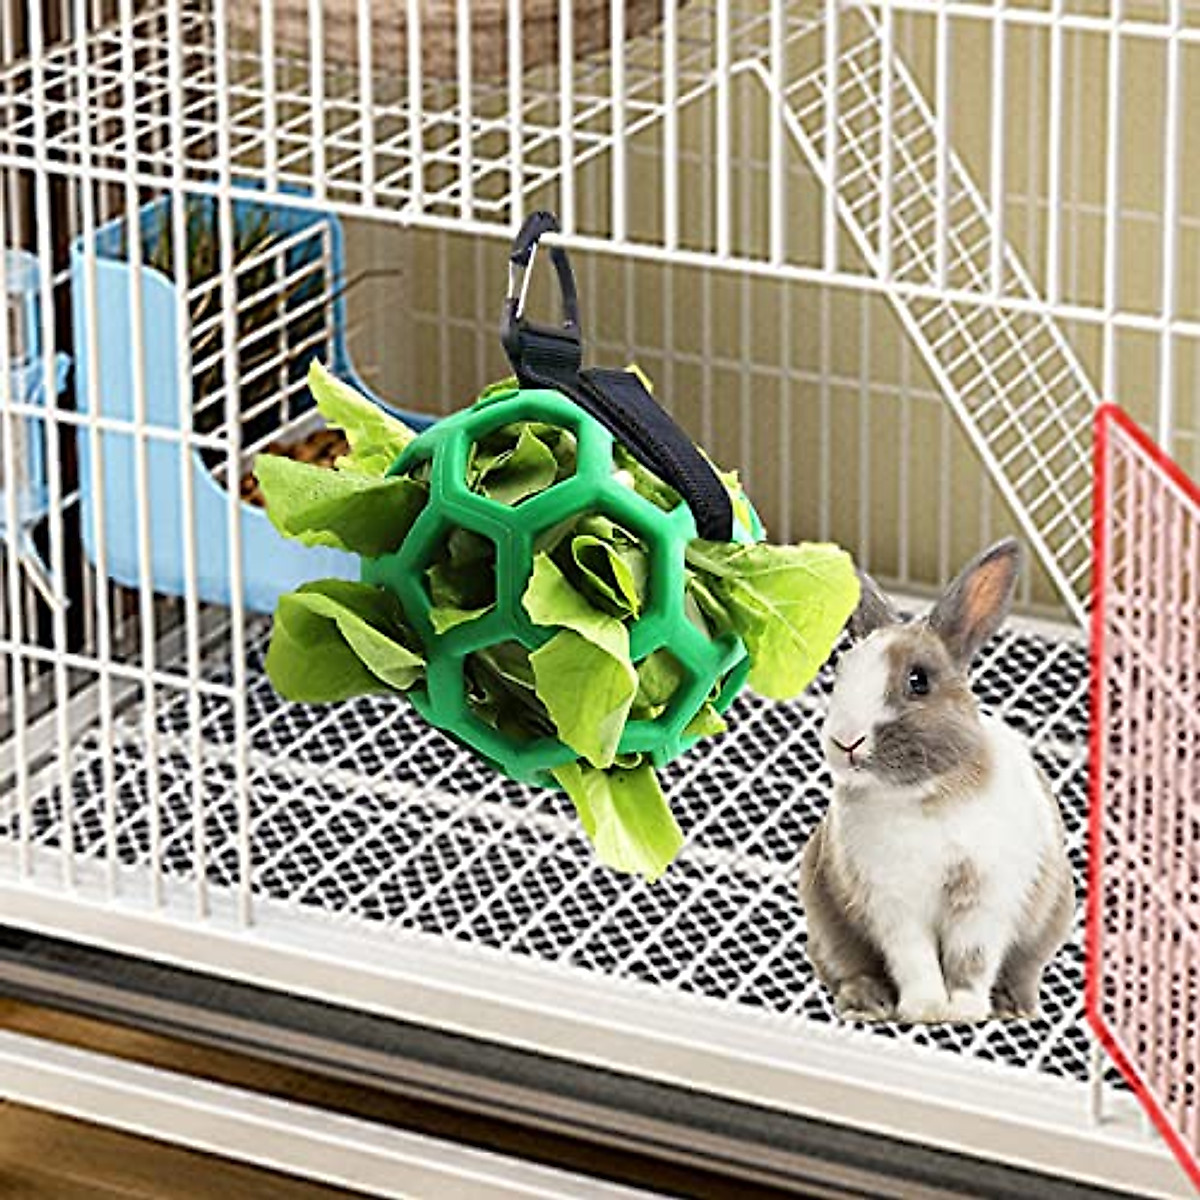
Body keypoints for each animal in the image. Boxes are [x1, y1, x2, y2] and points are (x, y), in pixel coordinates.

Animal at [799, 538, 1074, 1024]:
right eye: (842, 674)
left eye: (918, 681)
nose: (845, 741)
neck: (923, 796)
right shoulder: (895, 907)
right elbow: (915, 959)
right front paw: (925, 1009)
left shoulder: (983, 901)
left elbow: (971, 959)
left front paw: (962, 1010)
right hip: (825, 919)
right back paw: (868, 1004)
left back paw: (1014, 1007)